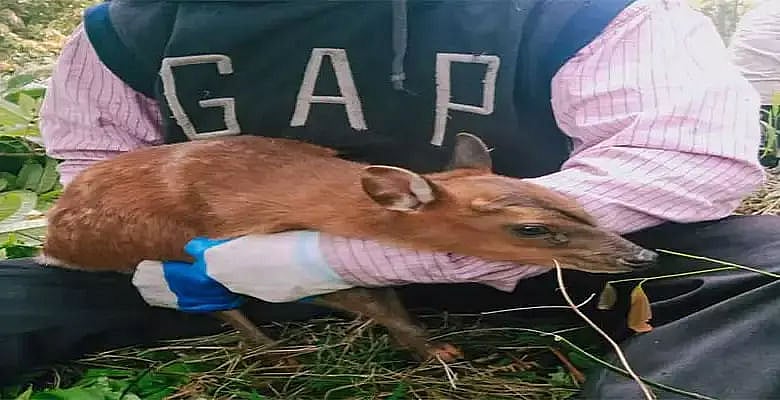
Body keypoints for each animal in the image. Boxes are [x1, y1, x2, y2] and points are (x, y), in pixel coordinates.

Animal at [39, 132, 657, 363]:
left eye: (570, 202)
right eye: (529, 230)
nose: (641, 257)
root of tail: (55, 236)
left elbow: (383, 294)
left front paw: (437, 349)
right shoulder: (247, 249)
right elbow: (366, 298)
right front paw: (437, 352)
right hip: (157, 242)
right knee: (221, 307)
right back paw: (273, 353)